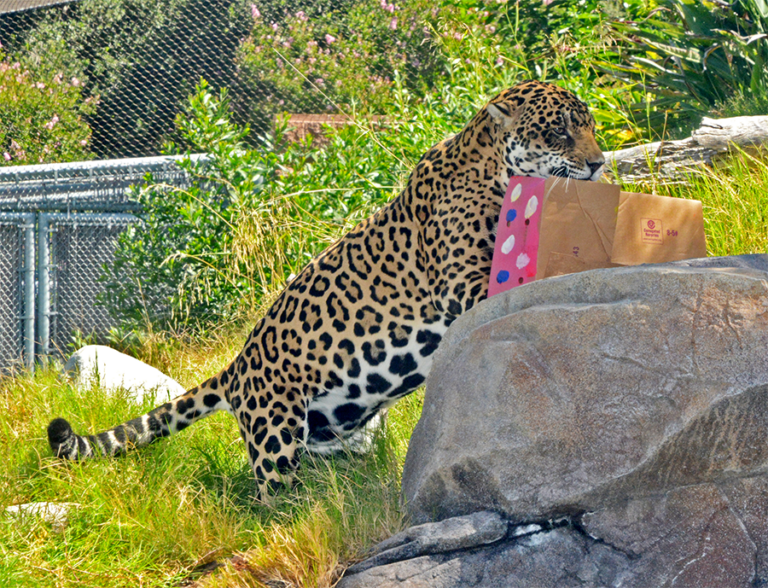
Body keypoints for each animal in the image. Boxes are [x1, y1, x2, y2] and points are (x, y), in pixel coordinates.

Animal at [47, 80, 606, 497]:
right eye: (558, 130)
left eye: (592, 125)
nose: (600, 163)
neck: (494, 169)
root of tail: (236, 366)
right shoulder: (460, 283)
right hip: (275, 429)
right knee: (270, 496)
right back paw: (292, 516)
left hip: (337, 428)